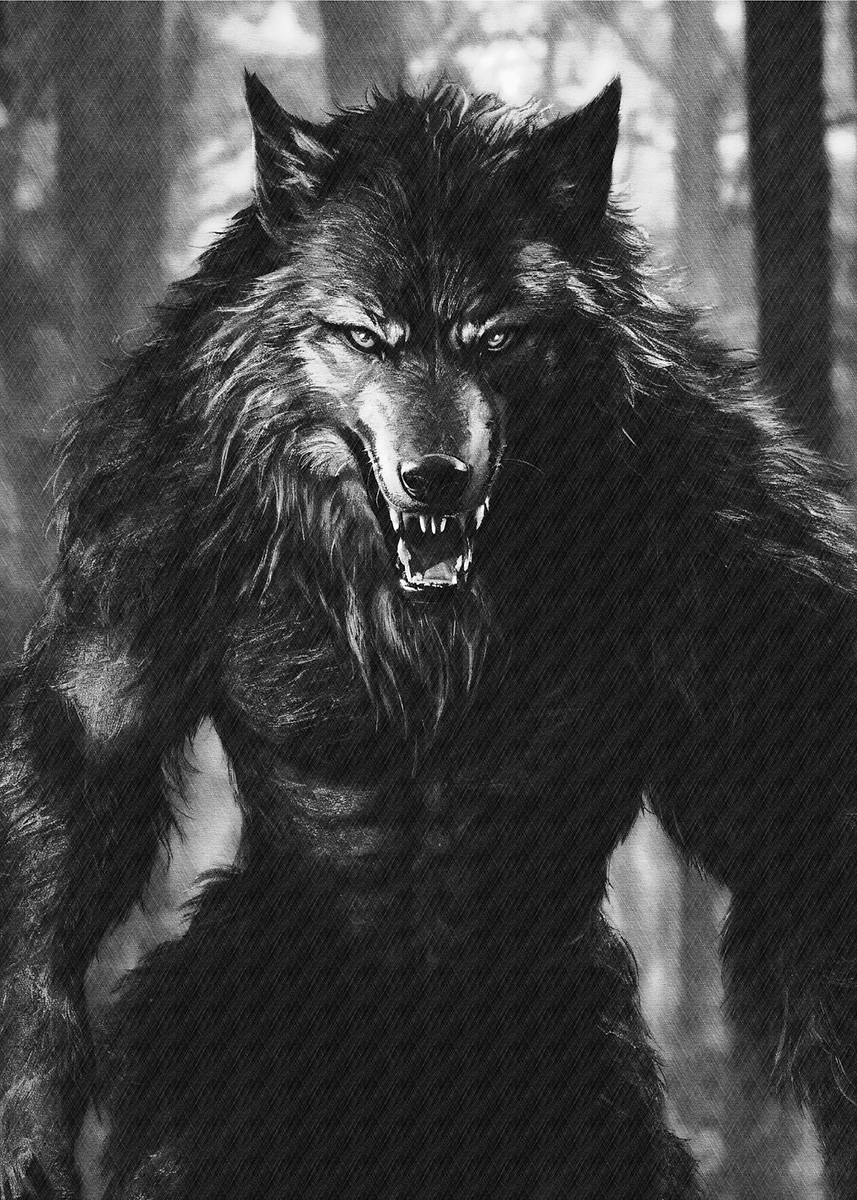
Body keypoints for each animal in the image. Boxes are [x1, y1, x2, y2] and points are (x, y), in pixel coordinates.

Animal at [1, 73, 857, 1198]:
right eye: (368, 338)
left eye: (494, 338)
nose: (436, 479)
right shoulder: (154, 508)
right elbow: (82, 761)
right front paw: (25, 1133)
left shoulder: (720, 525)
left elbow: (805, 815)